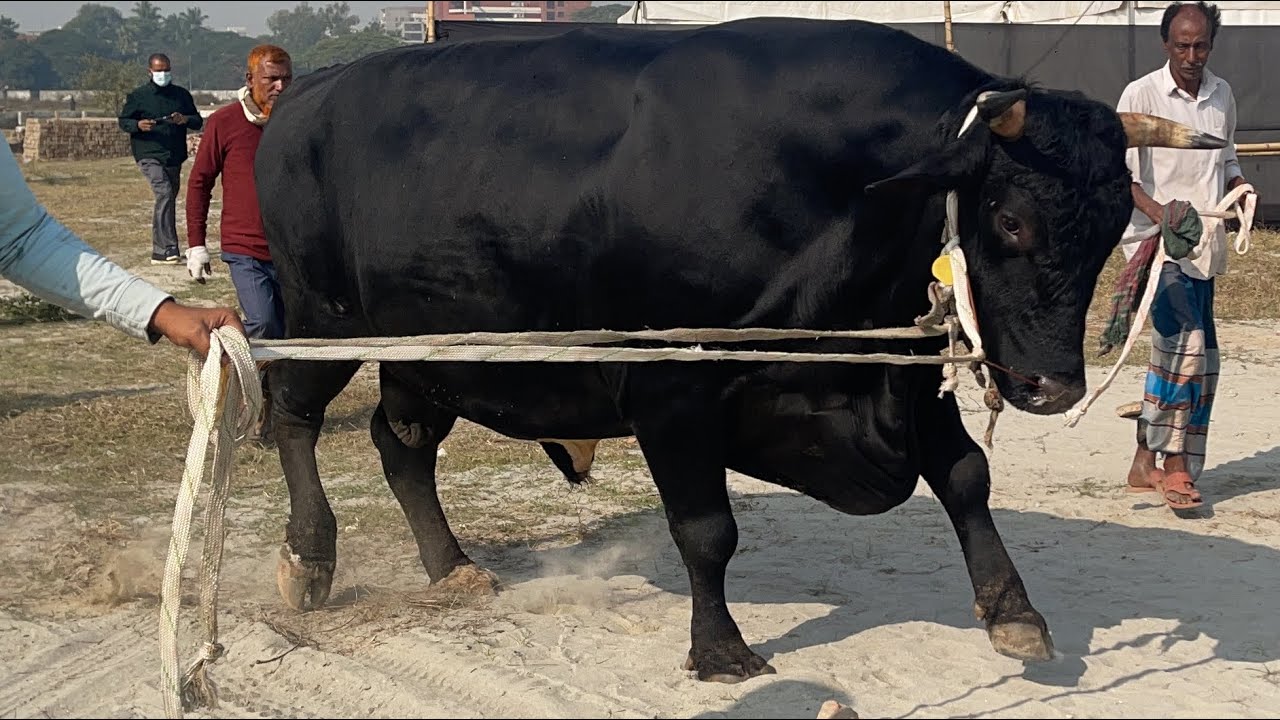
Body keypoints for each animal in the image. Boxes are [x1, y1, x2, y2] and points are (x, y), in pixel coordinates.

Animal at [255, 18, 1222, 683]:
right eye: (1012, 219)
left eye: (1115, 220)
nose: (1052, 386)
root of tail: (302, 97)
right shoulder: (673, 387)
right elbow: (706, 529)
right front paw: (719, 648)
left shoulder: (899, 373)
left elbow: (965, 478)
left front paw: (1012, 610)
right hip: (321, 319)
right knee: (293, 414)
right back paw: (308, 557)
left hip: (428, 354)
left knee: (401, 444)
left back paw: (451, 566)